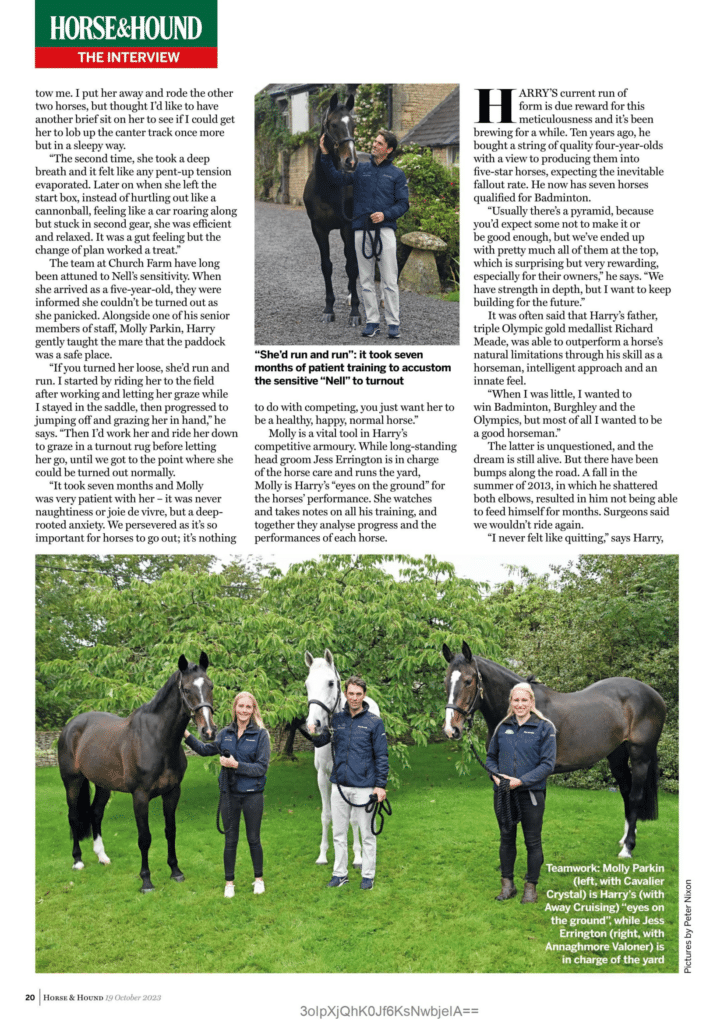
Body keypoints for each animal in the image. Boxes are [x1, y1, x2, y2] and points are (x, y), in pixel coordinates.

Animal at [57, 653, 216, 892]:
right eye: (187, 689)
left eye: (210, 686)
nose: (208, 731)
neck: (157, 740)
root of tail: (70, 727)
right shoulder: (140, 796)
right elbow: (144, 838)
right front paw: (146, 881)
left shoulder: (172, 792)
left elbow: (171, 831)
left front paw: (176, 871)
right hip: (73, 782)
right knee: (74, 816)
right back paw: (78, 861)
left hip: (103, 784)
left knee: (96, 813)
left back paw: (102, 857)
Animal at [303, 93, 361, 327]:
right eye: (333, 124)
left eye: (353, 125)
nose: (351, 162)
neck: (327, 184)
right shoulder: (318, 228)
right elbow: (326, 266)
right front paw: (329, 309)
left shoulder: (347, 227)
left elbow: (351, 266)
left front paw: (355, 312)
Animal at [303, 649, 380, 867]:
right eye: (307, 685)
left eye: (330, 683)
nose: (313, 725)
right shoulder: (323, 777)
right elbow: (327, 816)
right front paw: (322, 855)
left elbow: (354, 819)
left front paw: (358, 856)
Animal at [441, 642, 666, 859]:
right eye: (445, 682)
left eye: (468, 681)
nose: (451, 729)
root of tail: (655, 695)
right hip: (617, 755)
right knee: (626, 791)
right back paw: (625, 838)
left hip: (640, 756)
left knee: (635, 795)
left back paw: (628, 848)